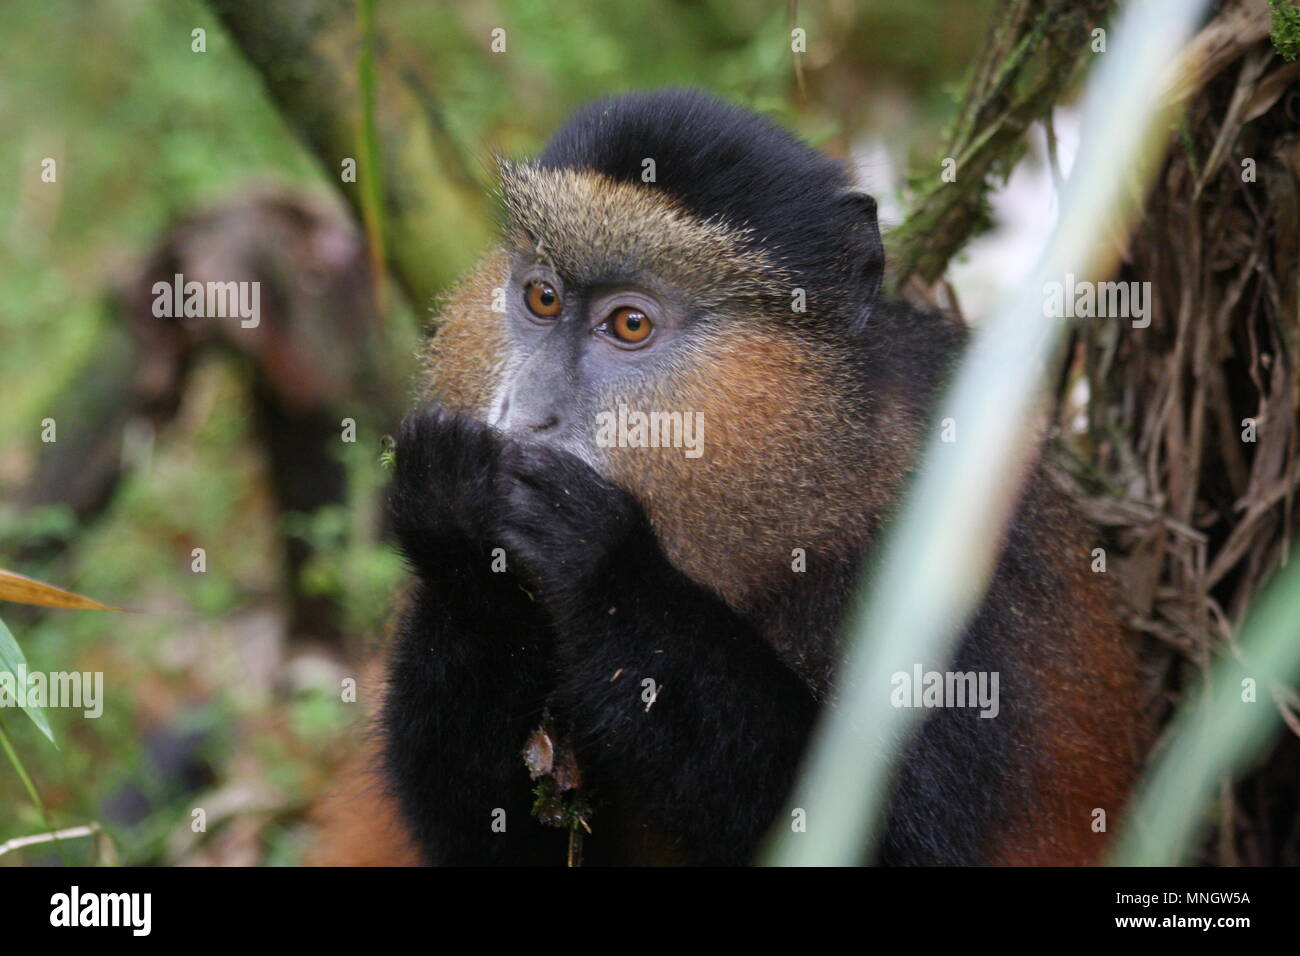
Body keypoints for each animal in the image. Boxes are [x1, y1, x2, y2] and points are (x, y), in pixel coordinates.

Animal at [365, 88, 1145, 866]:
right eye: (544, 299)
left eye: (629, 324)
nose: (526, 416)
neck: (819, 484)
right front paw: (454, 523)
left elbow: (895, 843)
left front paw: (601, 562)